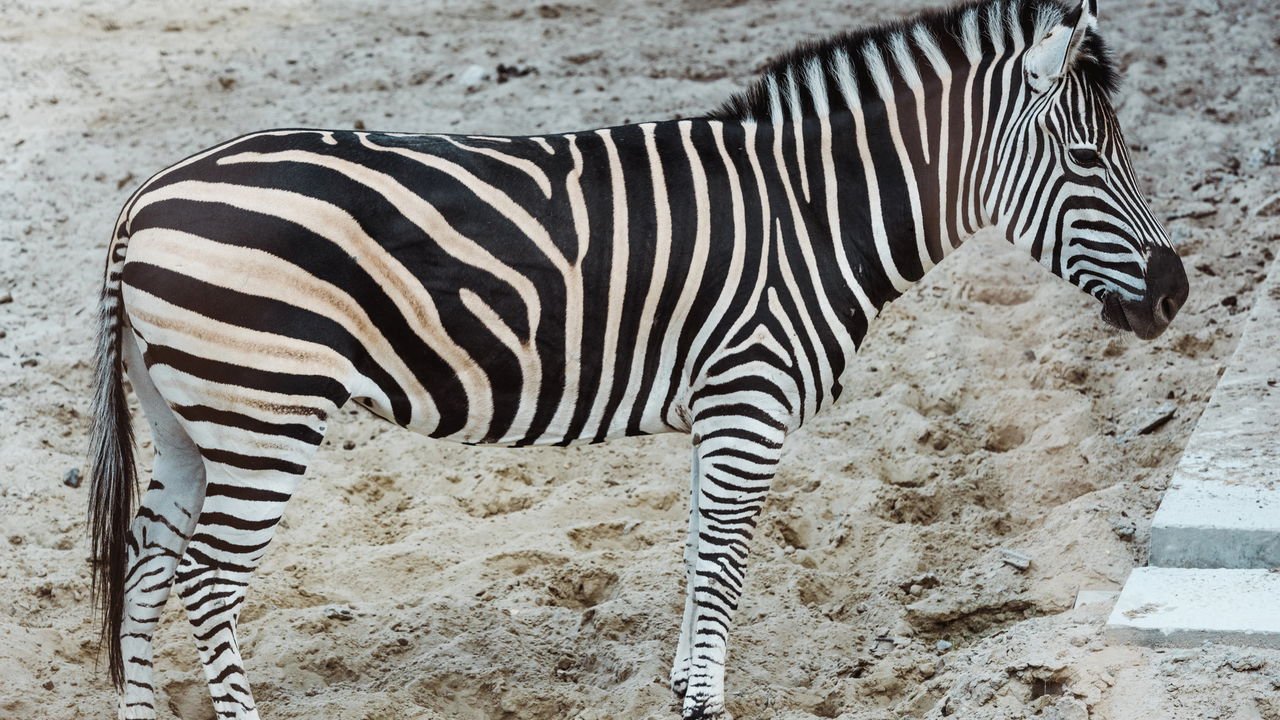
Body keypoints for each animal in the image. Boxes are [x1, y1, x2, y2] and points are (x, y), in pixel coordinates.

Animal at [87, 0, 1188, 717]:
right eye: (1087, 160)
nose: (1176, 293)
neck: (812, 215)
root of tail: (147, 195)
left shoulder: (723, 409)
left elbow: (702, 552)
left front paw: (684, 690)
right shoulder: (750, 400)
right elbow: (724, 565)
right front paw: (704, 704)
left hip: (192, 418)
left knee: (147, 561)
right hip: (267, 409)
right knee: (207, 579)